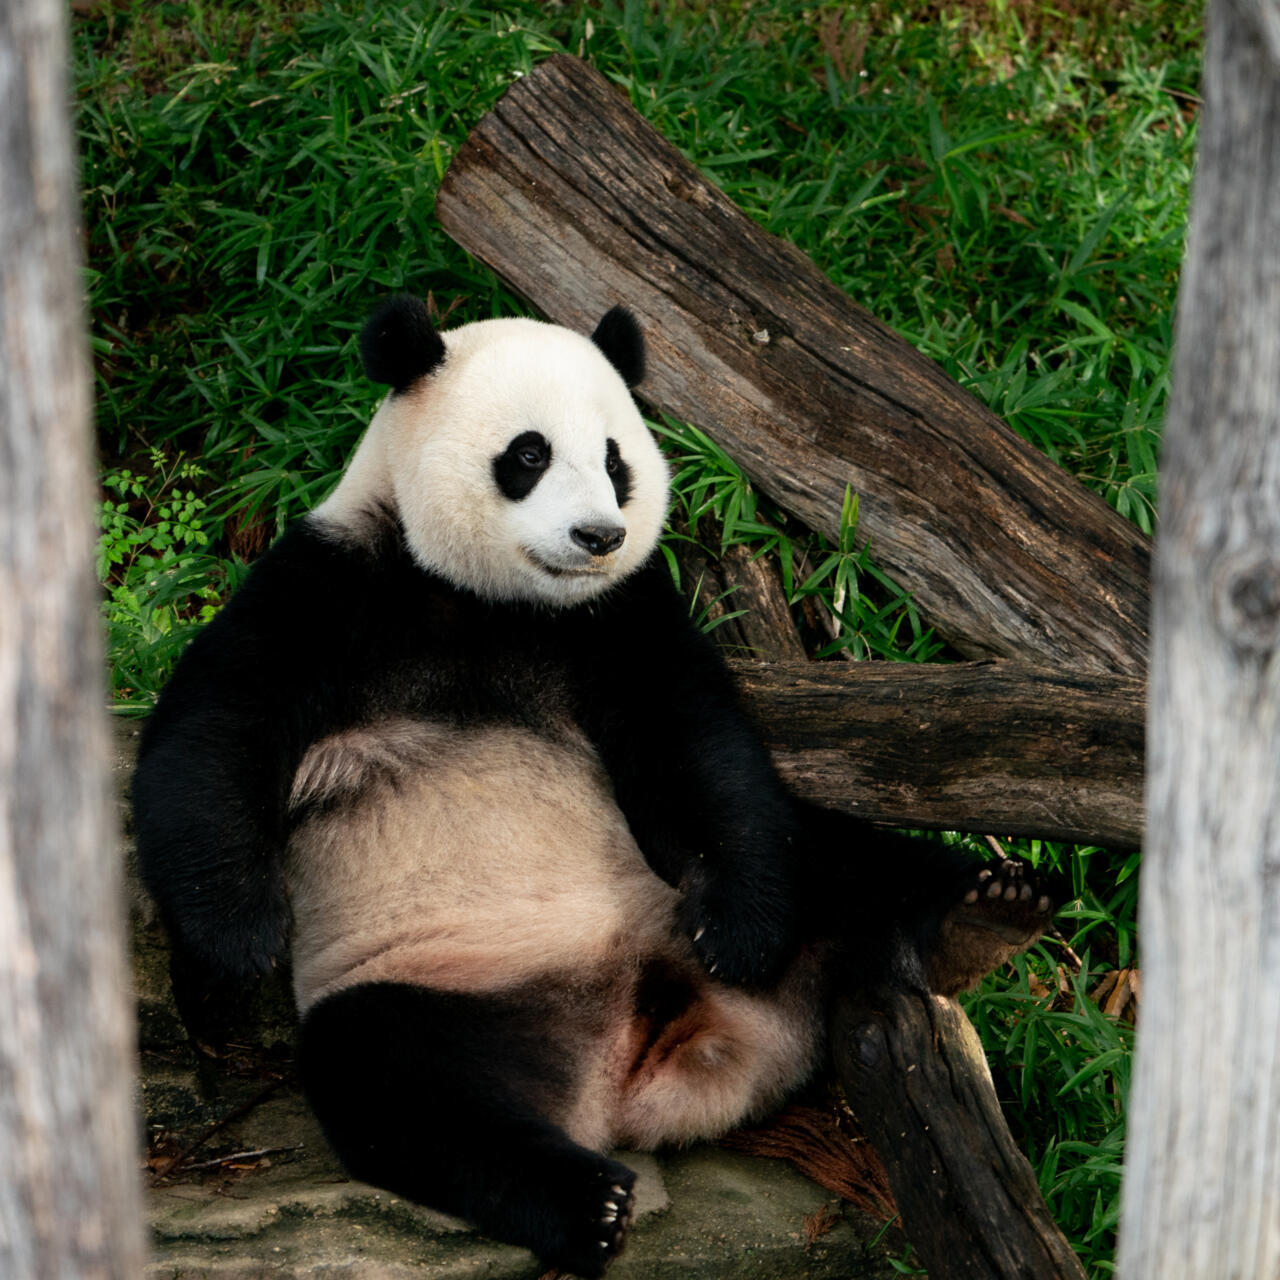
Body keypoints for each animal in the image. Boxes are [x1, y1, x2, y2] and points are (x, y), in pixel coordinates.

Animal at [133, 295, 1053, 1279]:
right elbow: (211, 731)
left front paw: (743, 931)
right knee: (402, 1089)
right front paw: (238, 942)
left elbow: (699, 747)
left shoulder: (618, 617)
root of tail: (632, 1076)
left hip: (682, 896)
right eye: (528, 454)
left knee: (832, 859)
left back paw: (986, 910)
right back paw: (585, 1201)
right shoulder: (333, 583)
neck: (490, 603)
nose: (599, 536)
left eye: (616, 460)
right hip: (434, 985)